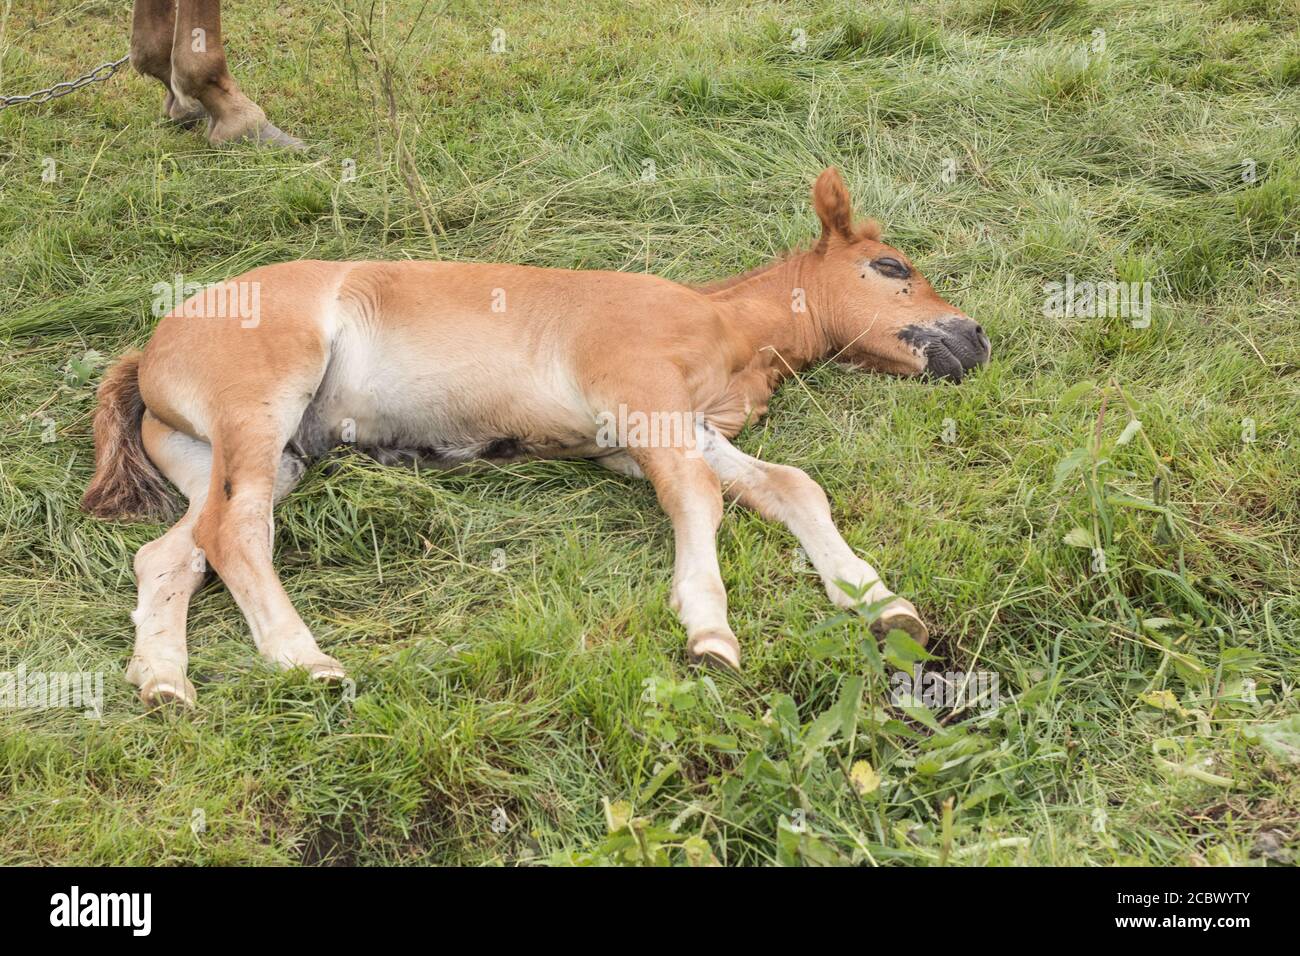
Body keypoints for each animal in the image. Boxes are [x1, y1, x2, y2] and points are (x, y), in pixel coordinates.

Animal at [82, 168, 990, 707]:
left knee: (178, 549)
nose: (974, 336)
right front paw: (709, 632)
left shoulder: (673, 427)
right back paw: (306, 662)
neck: (726, 326)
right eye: (892, 268)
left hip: (251, 455)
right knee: (237, 532)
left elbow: (789, 485)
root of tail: (151, 348)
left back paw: (163, 682)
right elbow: (696, 497)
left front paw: (880, 602)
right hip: (262, 406)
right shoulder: (641, 400)